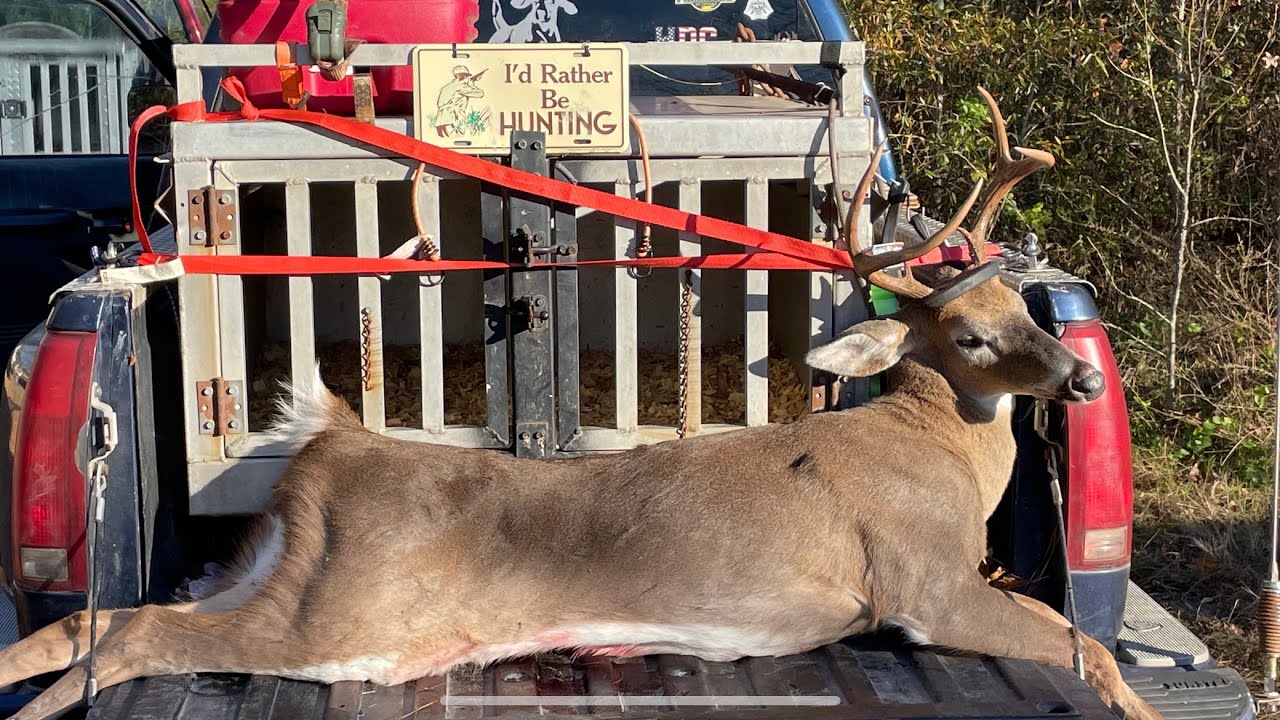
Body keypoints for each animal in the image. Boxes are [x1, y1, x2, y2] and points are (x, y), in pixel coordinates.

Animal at [0, 89, 1161, 720]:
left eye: (1021, 308)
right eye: (970, 337)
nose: (1082, 379)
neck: (942, 453)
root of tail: (330, 444)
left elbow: (1088, 645)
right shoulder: (920, 584)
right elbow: (1091, 649)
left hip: (270, 573)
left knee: (100, 624)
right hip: (342, 616)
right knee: (139, 641)